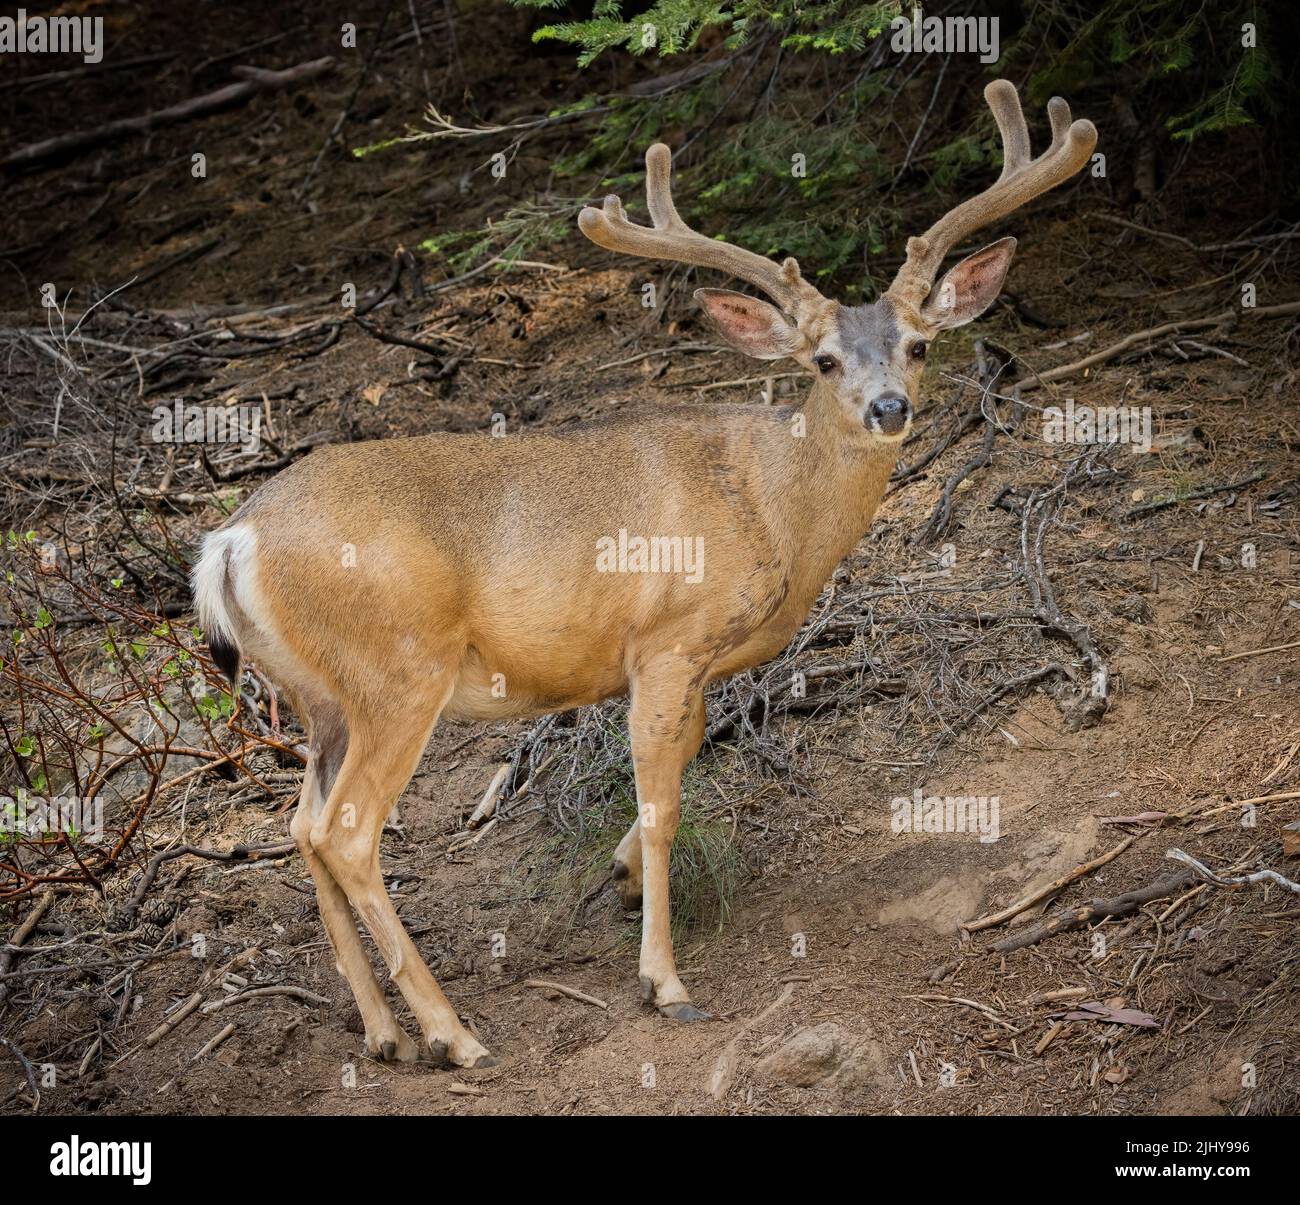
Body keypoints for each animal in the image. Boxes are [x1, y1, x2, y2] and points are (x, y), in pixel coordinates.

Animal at [192, 80, 1095, 1069]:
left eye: (921, 345)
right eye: (823, 361)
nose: (888, 407)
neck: (768, 500)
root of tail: (231, 540)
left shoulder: (687, 661)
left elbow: (686, 759)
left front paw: (621, 876)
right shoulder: (666, 638)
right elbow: (663, 799)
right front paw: (664, 981)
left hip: (322, 698)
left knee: (300, 828)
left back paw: (386, 1031)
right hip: (398, 669)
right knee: (347, 832)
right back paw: (454, 1033)